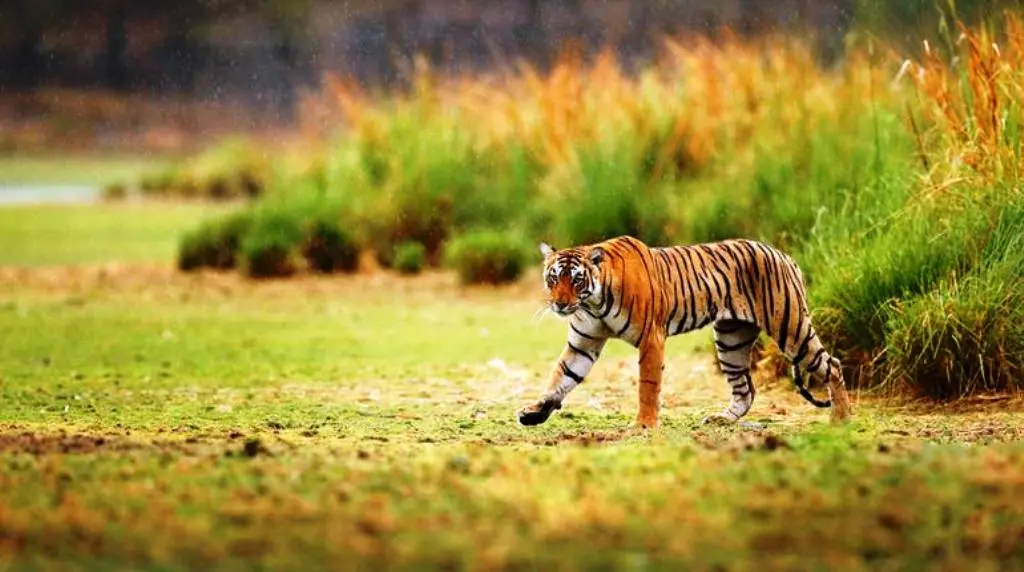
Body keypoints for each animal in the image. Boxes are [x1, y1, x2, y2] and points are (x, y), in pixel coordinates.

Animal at [516, 235, 853, 429]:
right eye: (553, 278)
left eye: (576, 280)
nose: (560, 304)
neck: (593, 302)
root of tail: (785, 256)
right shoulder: (583, 343)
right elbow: (560, 377)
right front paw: (535, 412)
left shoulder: (651, 339)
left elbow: (648, 386)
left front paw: (644, 425)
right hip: (730, 340)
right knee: (745, 389)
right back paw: (721, 419)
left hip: (790, 327)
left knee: (832, 365)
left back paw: (841, 418)